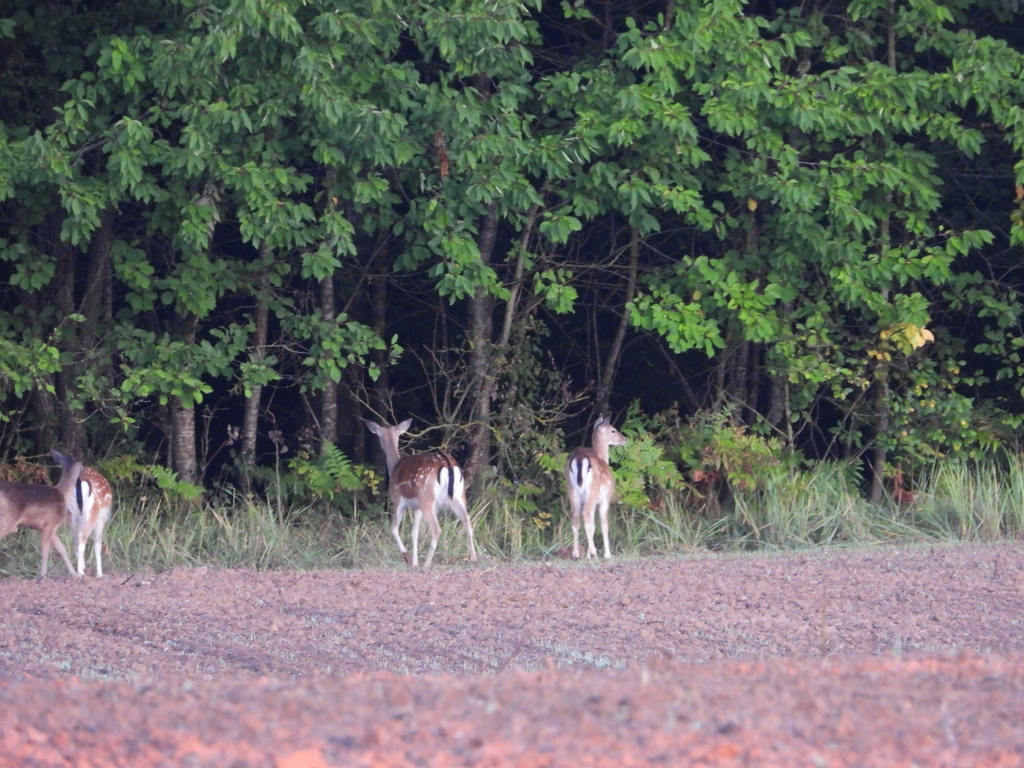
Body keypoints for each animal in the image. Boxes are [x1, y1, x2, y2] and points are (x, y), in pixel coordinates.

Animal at [365, 418, 478, 568]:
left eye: (379, 435)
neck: (393, 468)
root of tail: (448, 464)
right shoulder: (416, 507)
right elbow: (415, 532)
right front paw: (414, 562)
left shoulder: (398, 500)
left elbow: (394, 528)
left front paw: (407, 558)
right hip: (459, 496)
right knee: (467, 520)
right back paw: (473, 558)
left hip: (427, 498)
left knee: (436, 529)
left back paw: (427, 564)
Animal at [565, 415, 628, 560]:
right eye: (613, 430)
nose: (624, 439)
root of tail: (580, 457)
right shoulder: (605, 498)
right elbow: (604, 525)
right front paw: (607, 554)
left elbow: (594, 526)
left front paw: (588, 555)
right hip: (592, 490)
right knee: (585, 514)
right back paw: (594, 553)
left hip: (572, 490)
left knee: (576, 517)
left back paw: (576, 554)